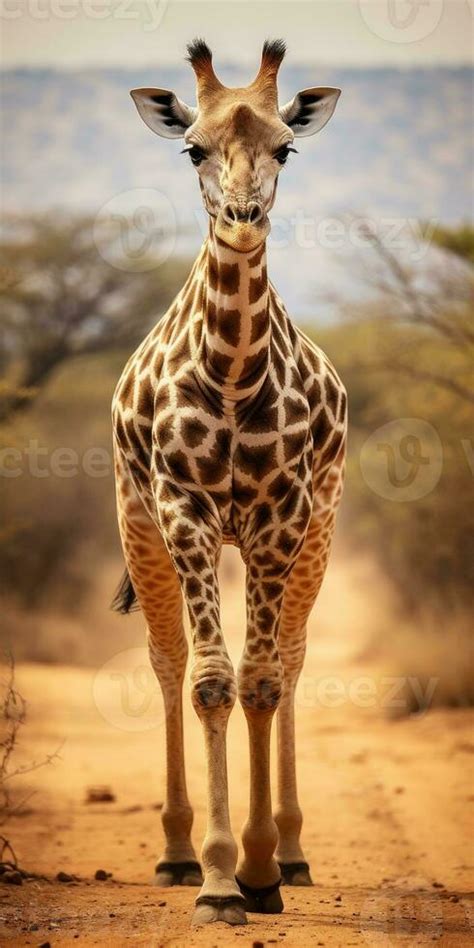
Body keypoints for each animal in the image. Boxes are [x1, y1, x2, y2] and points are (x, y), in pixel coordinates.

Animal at [112, 39, 347, 928]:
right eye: (192, 148)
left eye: (286, 148)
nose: (243, 223)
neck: (235, 373)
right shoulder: (184, 513)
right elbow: (211, 680)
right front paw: (216, 880)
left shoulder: (283, 519)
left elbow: (263, 680)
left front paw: (260, 869)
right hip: (137, 524)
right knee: (168, 659)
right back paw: (177, 853)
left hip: (319, 530)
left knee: (294, 658)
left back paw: (294, 851)